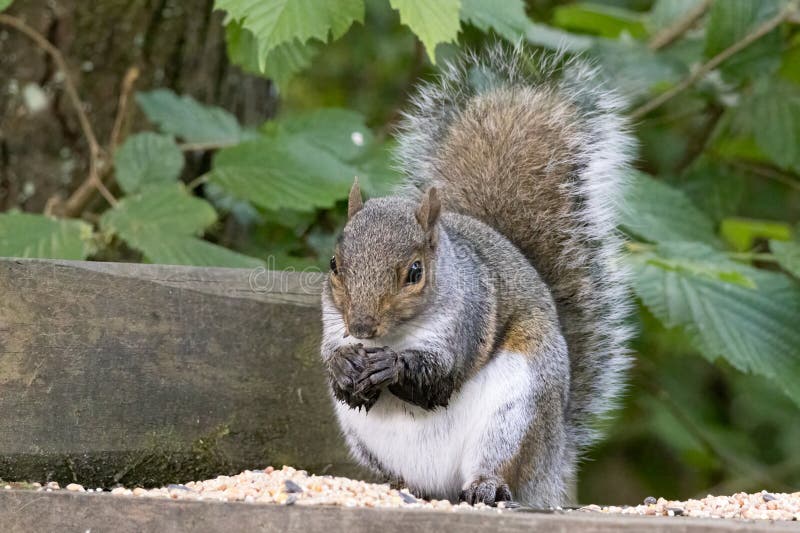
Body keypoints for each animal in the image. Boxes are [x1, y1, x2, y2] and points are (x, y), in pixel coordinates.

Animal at [320, 44, 634, 508]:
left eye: (415, 272)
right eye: (333, 265)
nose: (360, 326)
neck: (395, 334)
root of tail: (554, 462)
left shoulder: (467, 321)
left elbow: (437, 380)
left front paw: (392, 366)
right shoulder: (331, 322)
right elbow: (335, 361)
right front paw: (344, 365)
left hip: (516, 416)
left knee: (498, 463)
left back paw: (486, 486)